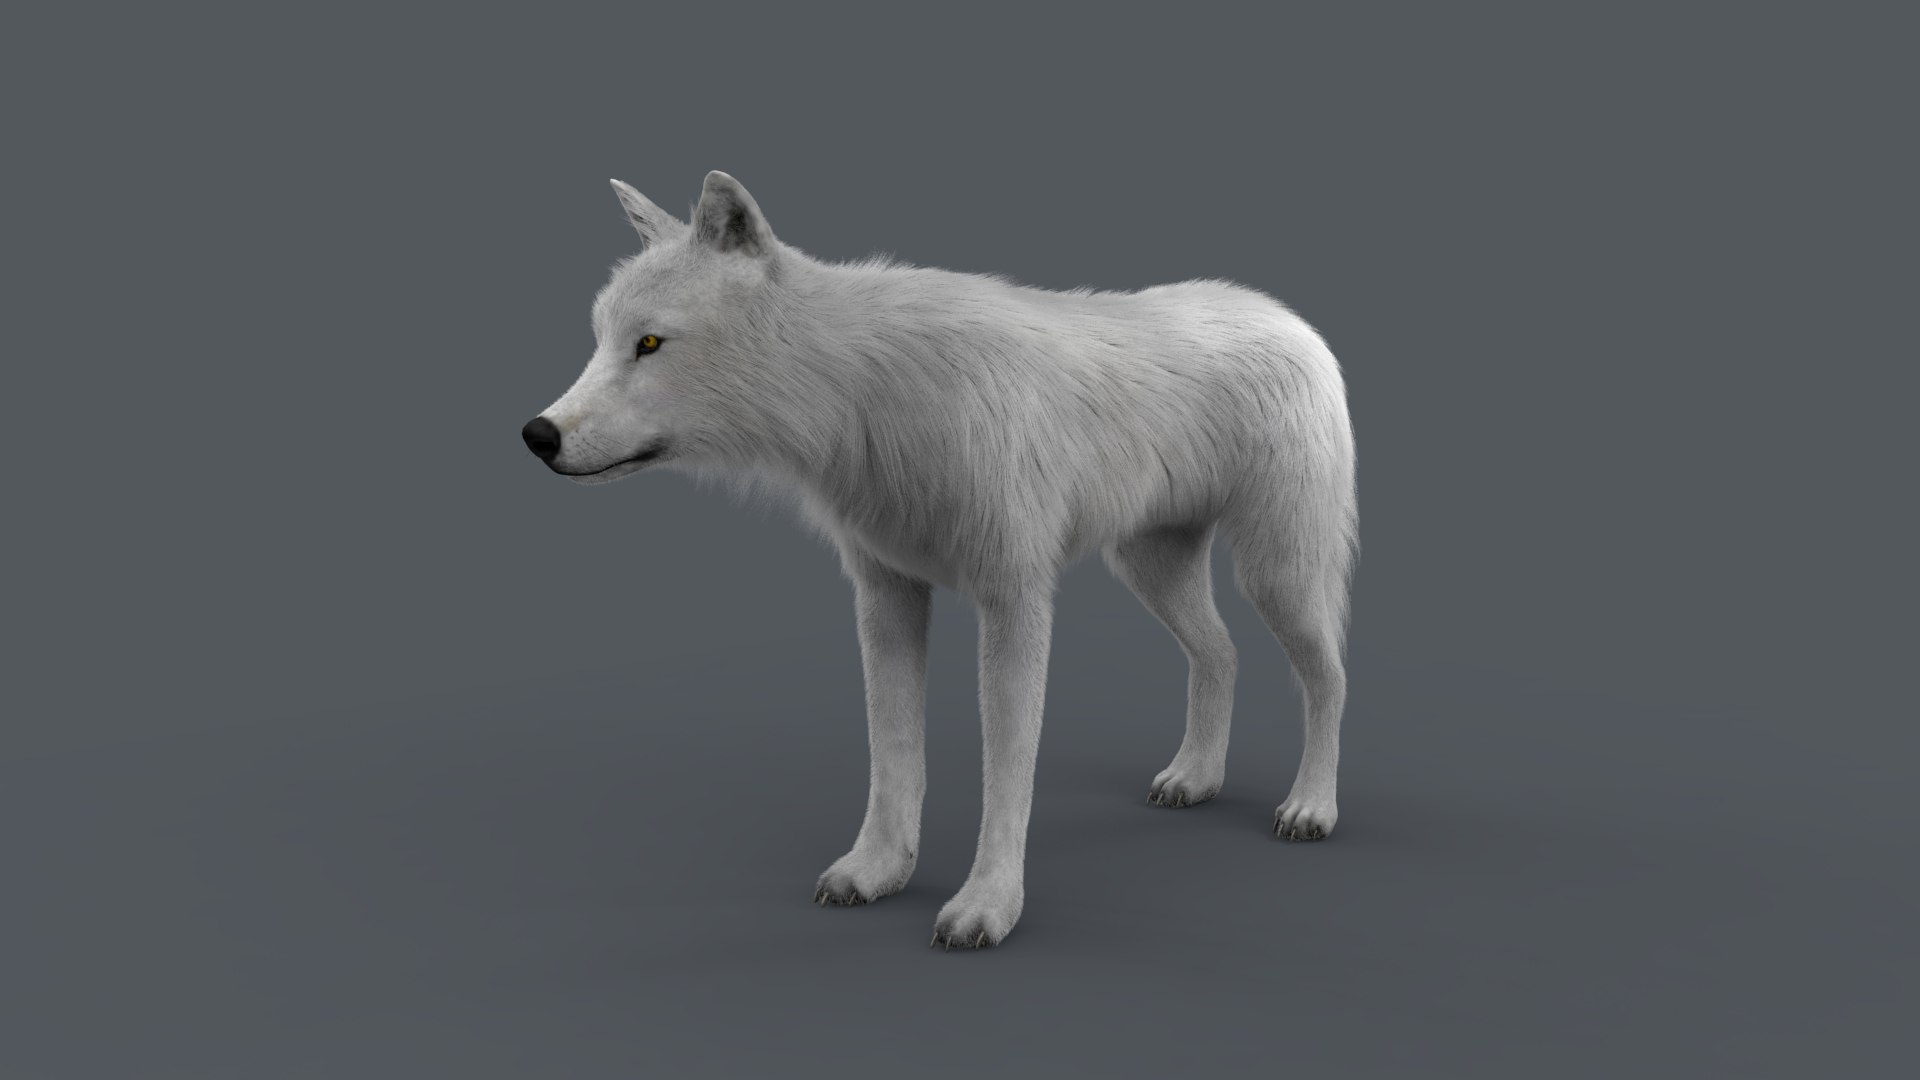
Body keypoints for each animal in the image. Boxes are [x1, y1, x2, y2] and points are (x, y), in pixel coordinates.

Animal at [522, 171, 1358, 949]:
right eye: (602, 338)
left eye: (649, 343)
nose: (537, 434)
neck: (864, 398)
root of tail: (1290, 318)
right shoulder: (886, 595)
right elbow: (893, 756)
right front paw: (877, 872)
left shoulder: (1015, 600)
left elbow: (1006, 774)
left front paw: (987, 907)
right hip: (1150, 568)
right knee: (1221, 654)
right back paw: (1197, 778)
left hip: (1274, 574)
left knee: (1329, 676)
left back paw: (1311, 806)